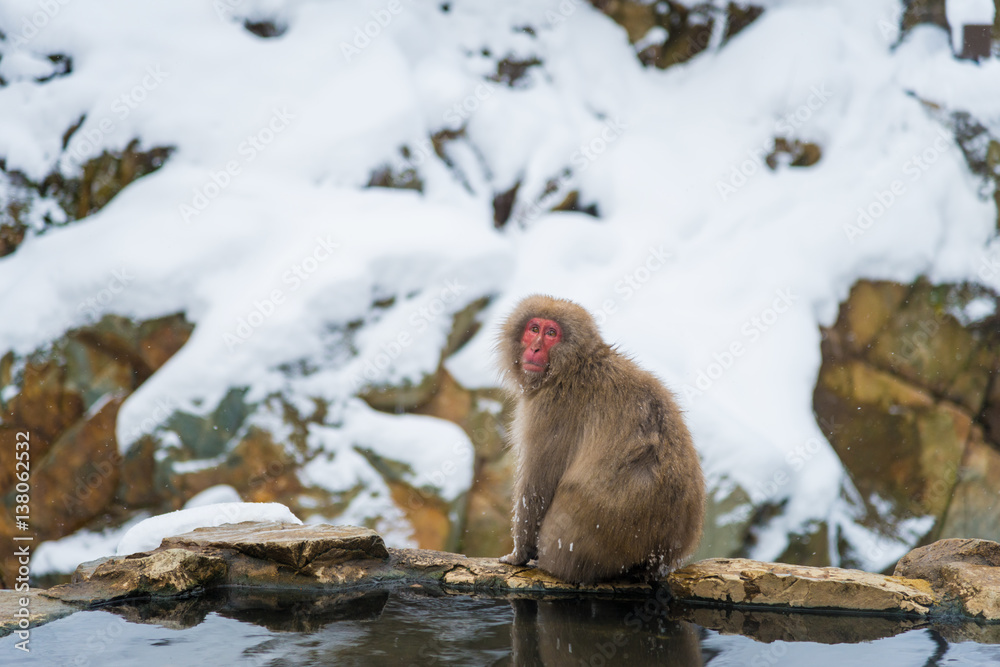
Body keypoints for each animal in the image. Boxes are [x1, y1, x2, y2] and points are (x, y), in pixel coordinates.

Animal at [497, 294, 705, 584]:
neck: (573, 366)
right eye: (534, 328)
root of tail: (660, 552)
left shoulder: (550, 409)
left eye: (551, 334)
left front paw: (518, 555)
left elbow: (537, 487)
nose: (535, 348)